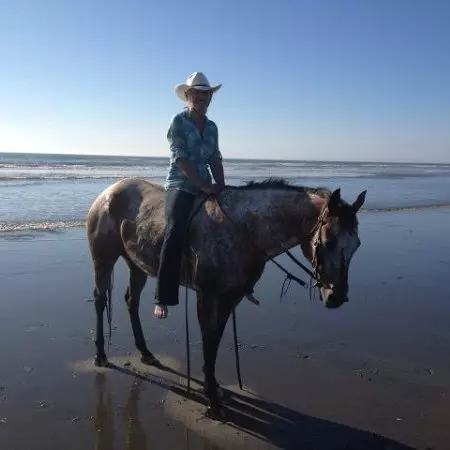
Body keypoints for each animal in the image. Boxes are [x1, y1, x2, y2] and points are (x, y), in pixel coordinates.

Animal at [86, 177, 368, 418]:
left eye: (357, 245)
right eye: (329, 241)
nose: (336, 297)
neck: (244, 230)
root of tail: (109, 191)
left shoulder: (230, 297)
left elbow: (216, 339)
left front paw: (214, 388)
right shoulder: (207, 295)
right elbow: (208, 340)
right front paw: (212, 399)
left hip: (137, 265)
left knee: (131, 302)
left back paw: (145, 353)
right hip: (104, 259)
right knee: (100, 300)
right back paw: (100, 355)